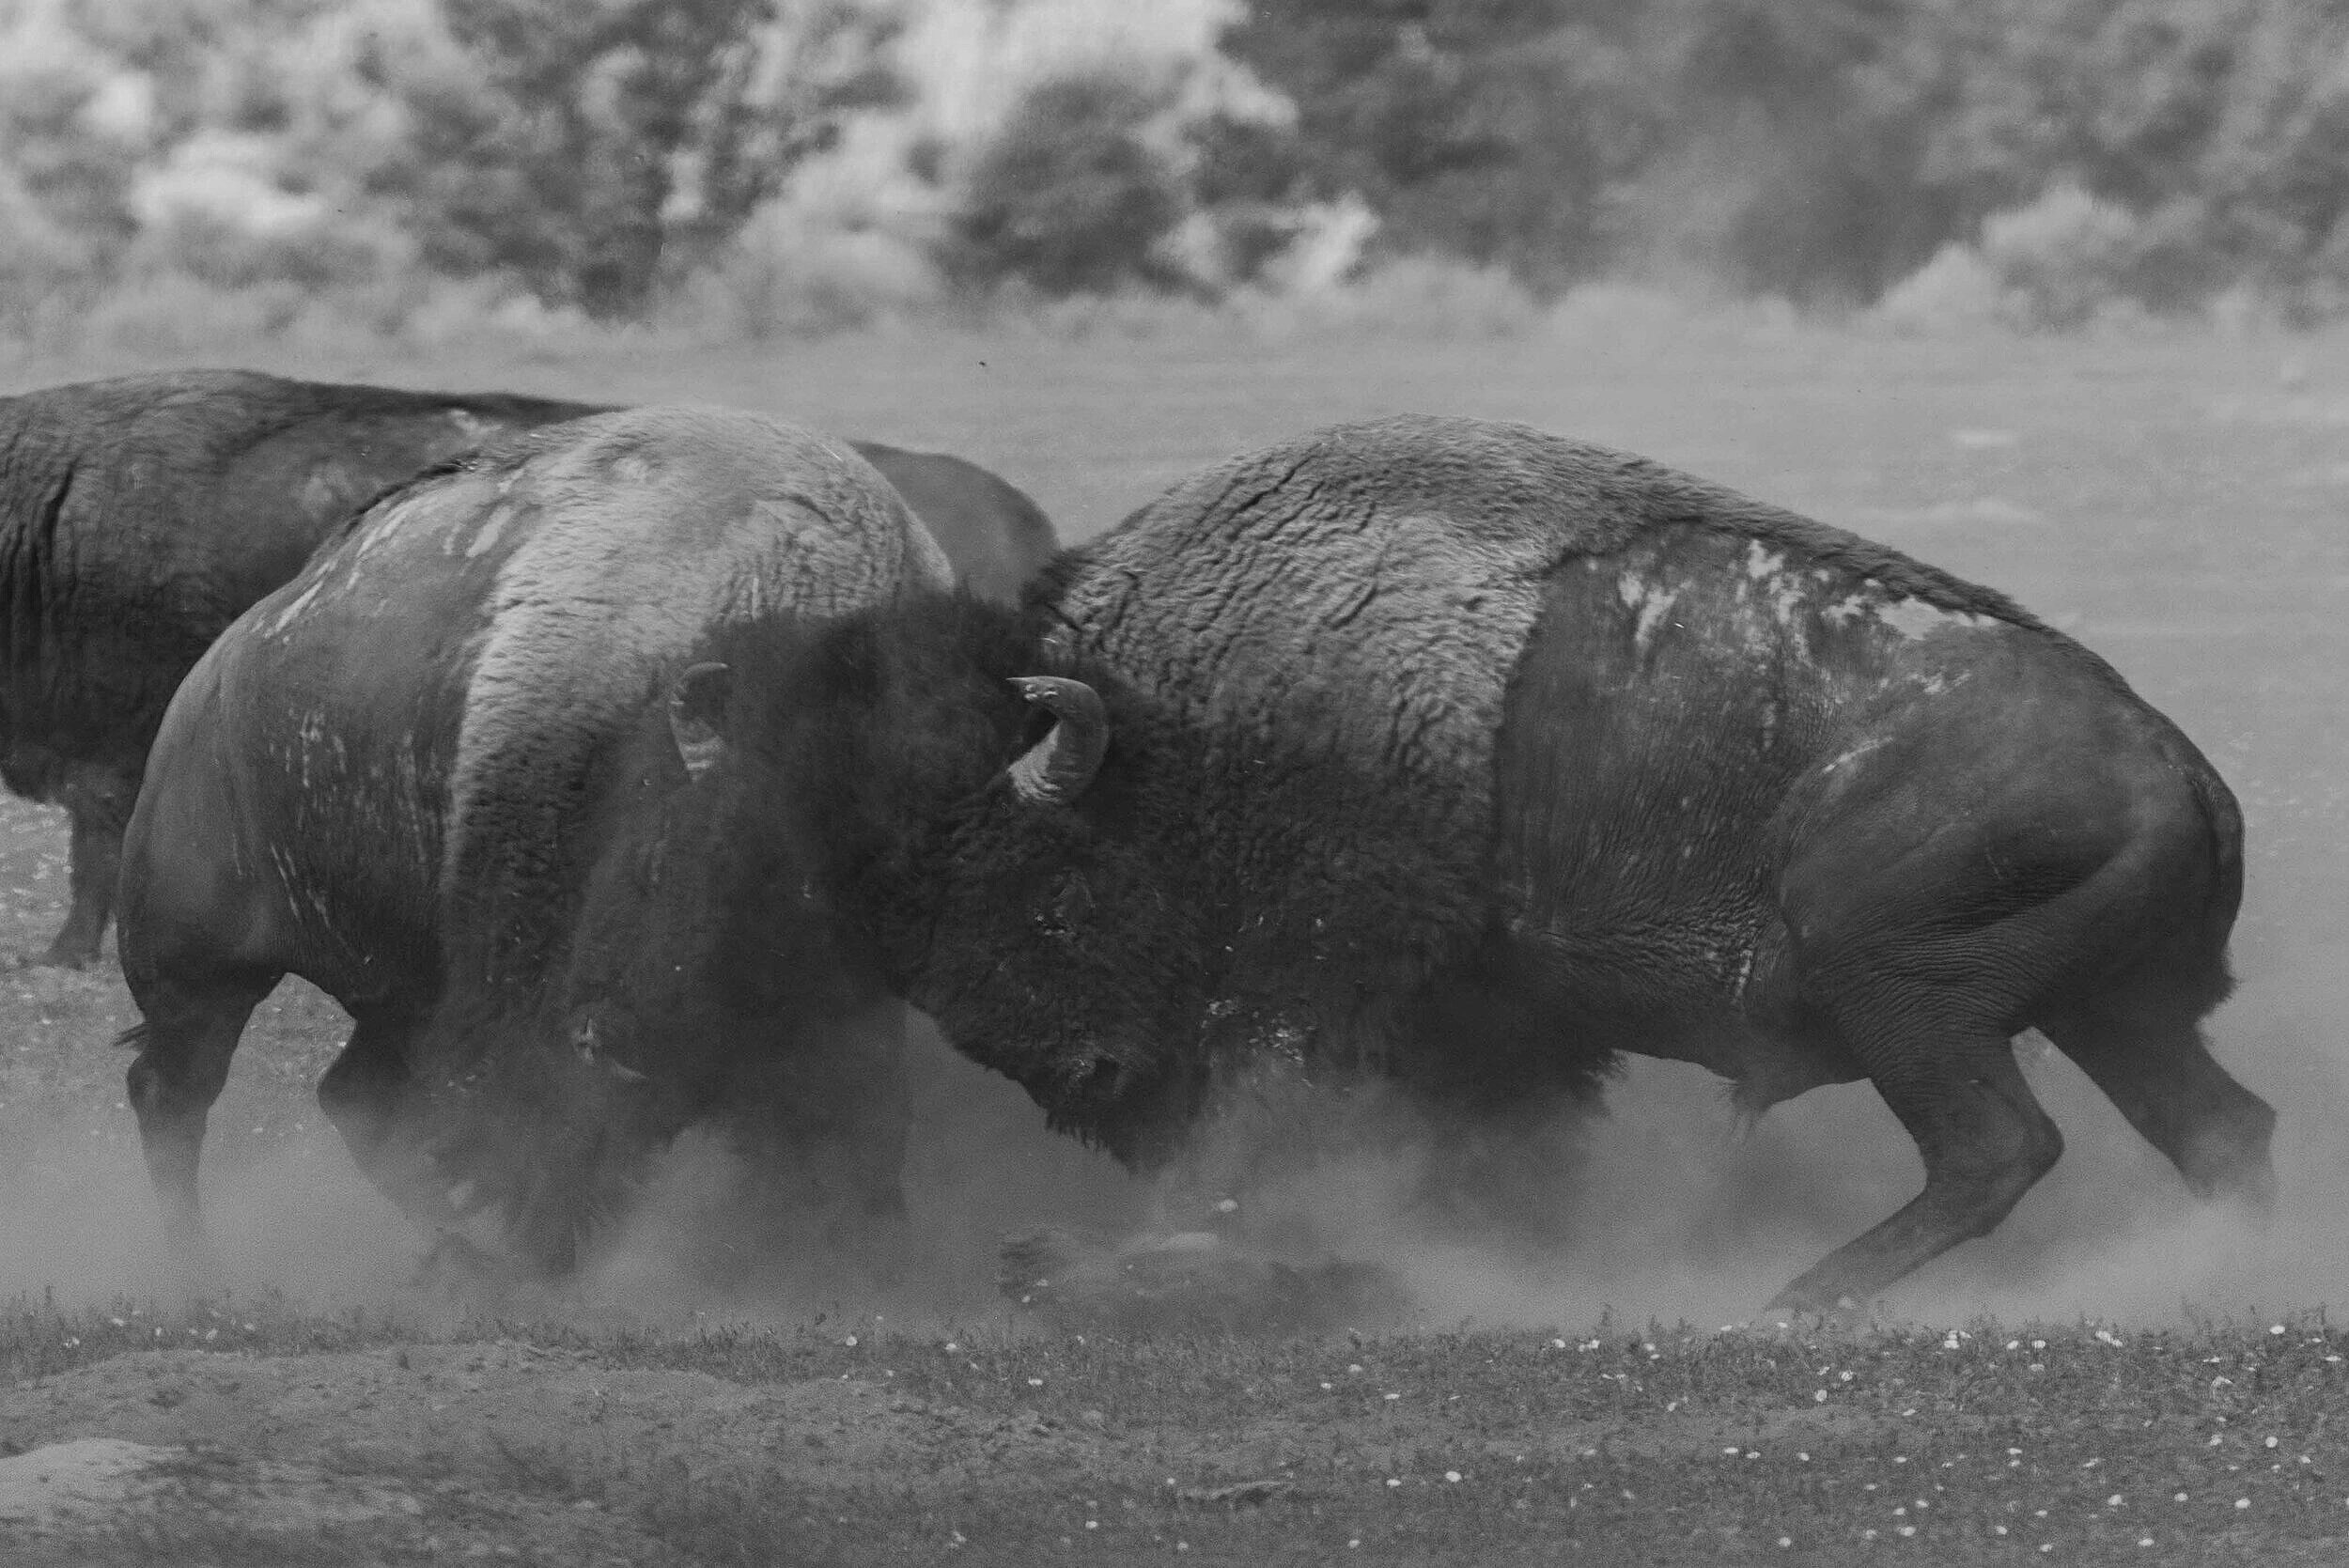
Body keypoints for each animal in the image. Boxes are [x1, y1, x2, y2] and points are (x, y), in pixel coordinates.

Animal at [116, 407, 951, 1276]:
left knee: (351, 1100)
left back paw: (456, 1251)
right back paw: (199, 1264)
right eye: (657, 862)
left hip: (395, 994)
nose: (613, 1042)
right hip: (198, 969)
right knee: (173, 1093)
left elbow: (867, 1108)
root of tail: (210, 677)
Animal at [644, 414, 2273, 1315]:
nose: (1088, 1077)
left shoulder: (1313, 986)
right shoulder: (1502, 1028)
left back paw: (1791, 1301)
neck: (1176, 724)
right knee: (2215, 1131)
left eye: (1028, 881)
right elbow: (1493, 1160)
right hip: (2107, 1012)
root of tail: (2178, 767)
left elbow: (1271, 1121)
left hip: (1909, 998)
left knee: (2000, 1146)